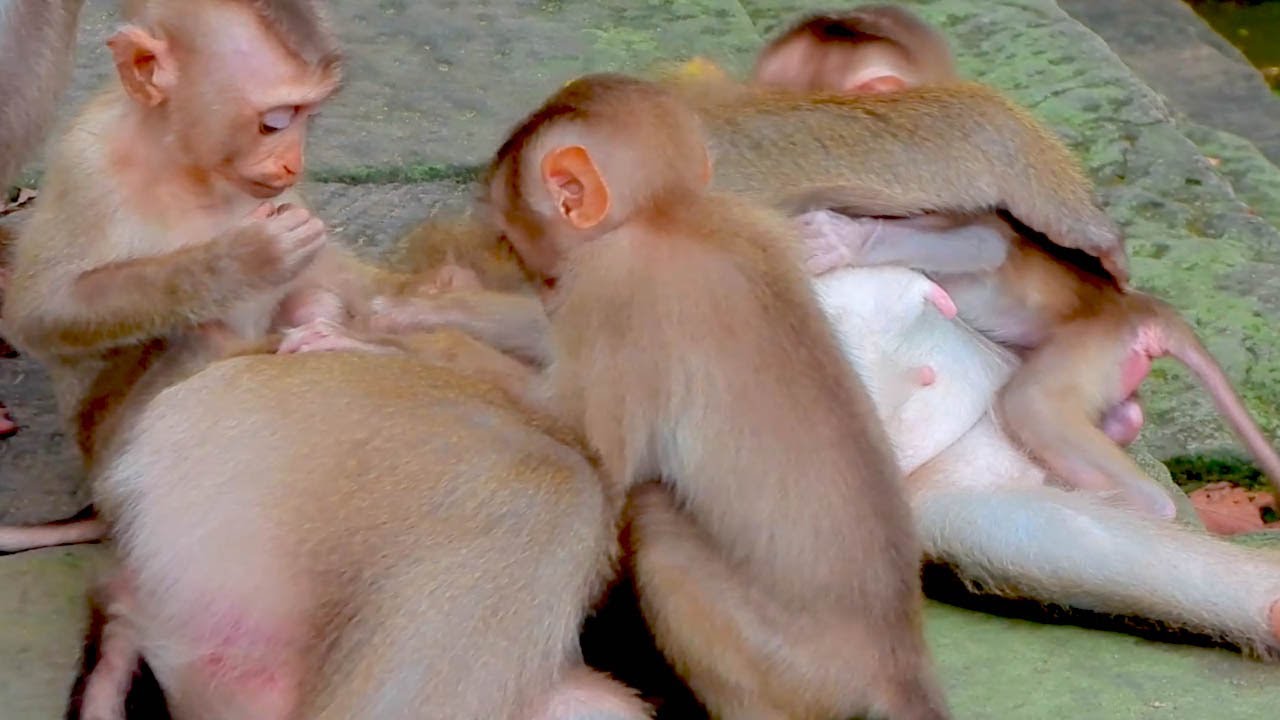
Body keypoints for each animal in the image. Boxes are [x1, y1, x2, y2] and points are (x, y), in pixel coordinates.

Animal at [468, 72, 950, 720]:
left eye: (513, 235)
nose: (537, 279)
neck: (672, 212)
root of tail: (898, 661)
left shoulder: (614, 287)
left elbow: (592, 446)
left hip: (779, 663)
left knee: (655, 519)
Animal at [763, 5, 1280, 518]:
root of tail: (1134, 307)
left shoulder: (934, 188)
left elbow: (984, 242)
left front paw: (840, 239)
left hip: (1092, 346)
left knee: (1034, 406)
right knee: (1117, 415)